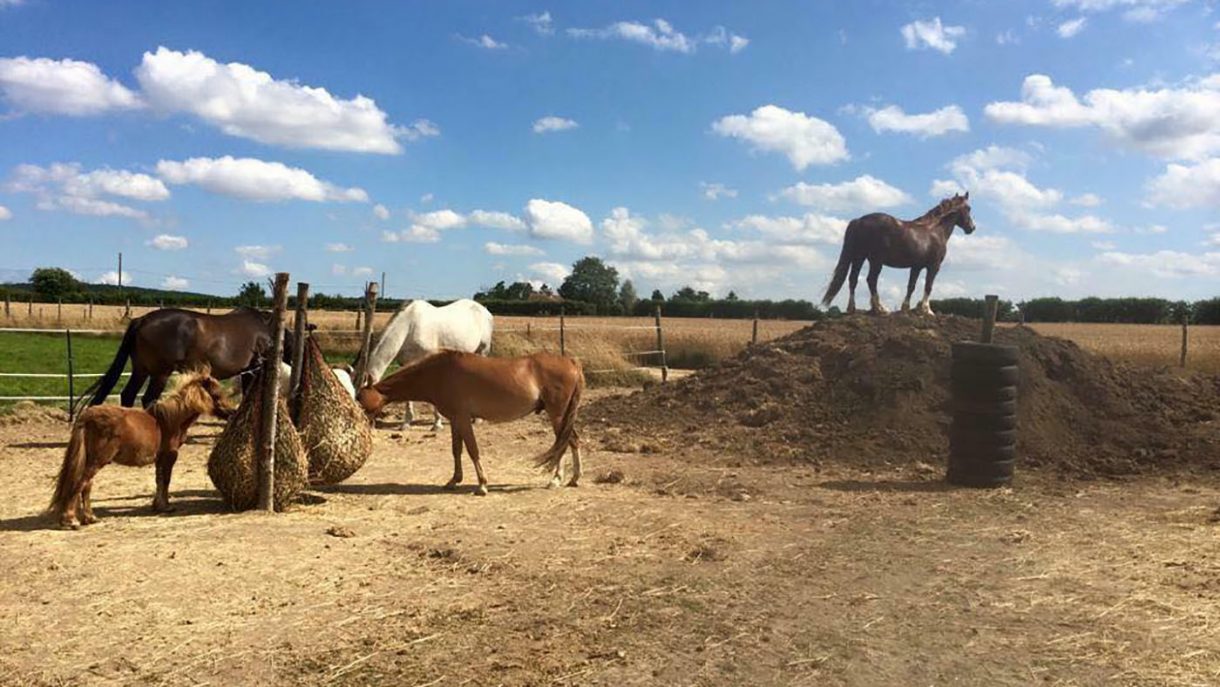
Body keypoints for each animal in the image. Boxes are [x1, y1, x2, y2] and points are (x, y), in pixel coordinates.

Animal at [49, 370, 235, 529]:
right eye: (216, 395)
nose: (232, 412)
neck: (169, 421)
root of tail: (87, 417)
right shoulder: (170, 456)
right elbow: (166, 480)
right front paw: (166, 507)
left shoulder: (160, 459)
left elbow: (159, 480)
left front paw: (159, 506)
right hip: (96, 461)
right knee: (80, 484)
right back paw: (70, 521)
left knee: (86, 486)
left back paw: (90, 518)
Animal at [80, 307, 284, 410]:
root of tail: (142, 320)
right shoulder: (253, 369)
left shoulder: (247, 371)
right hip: (160, 373)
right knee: (148, 399)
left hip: (141, 369)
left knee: (128, 395)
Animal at [357, 351, 584, 496]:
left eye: (360, 399)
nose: (361, 424)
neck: (440, 373)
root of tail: (571, 362)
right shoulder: (455, 420)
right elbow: (456, 450)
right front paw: (454, 480)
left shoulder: (463, 419)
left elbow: (473, 450)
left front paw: (482, 485)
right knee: (571, 441)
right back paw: (573, 479)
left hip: (557, 415)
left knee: (564, 443)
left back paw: (556, 479)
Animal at [360, 298, 494, 430]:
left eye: (366, 405)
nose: (364, 425)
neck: (409, 326)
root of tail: (485, 310)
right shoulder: (405, 363)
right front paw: (406, 423)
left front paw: (437, 424)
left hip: (483, 351)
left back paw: (478, 419)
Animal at [821, 192, 976, 316]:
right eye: (968, 208)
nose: (972, 228)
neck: (935, 230)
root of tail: (859, 221)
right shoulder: (934, 266)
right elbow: (928, 286)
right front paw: (927, 310)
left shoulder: (916, 267)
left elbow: (911, 286)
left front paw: (905, 308)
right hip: (876, 261)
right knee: (871, 280)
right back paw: (880, 309)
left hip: (859, 258)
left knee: (853, 279)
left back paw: (852, 308)